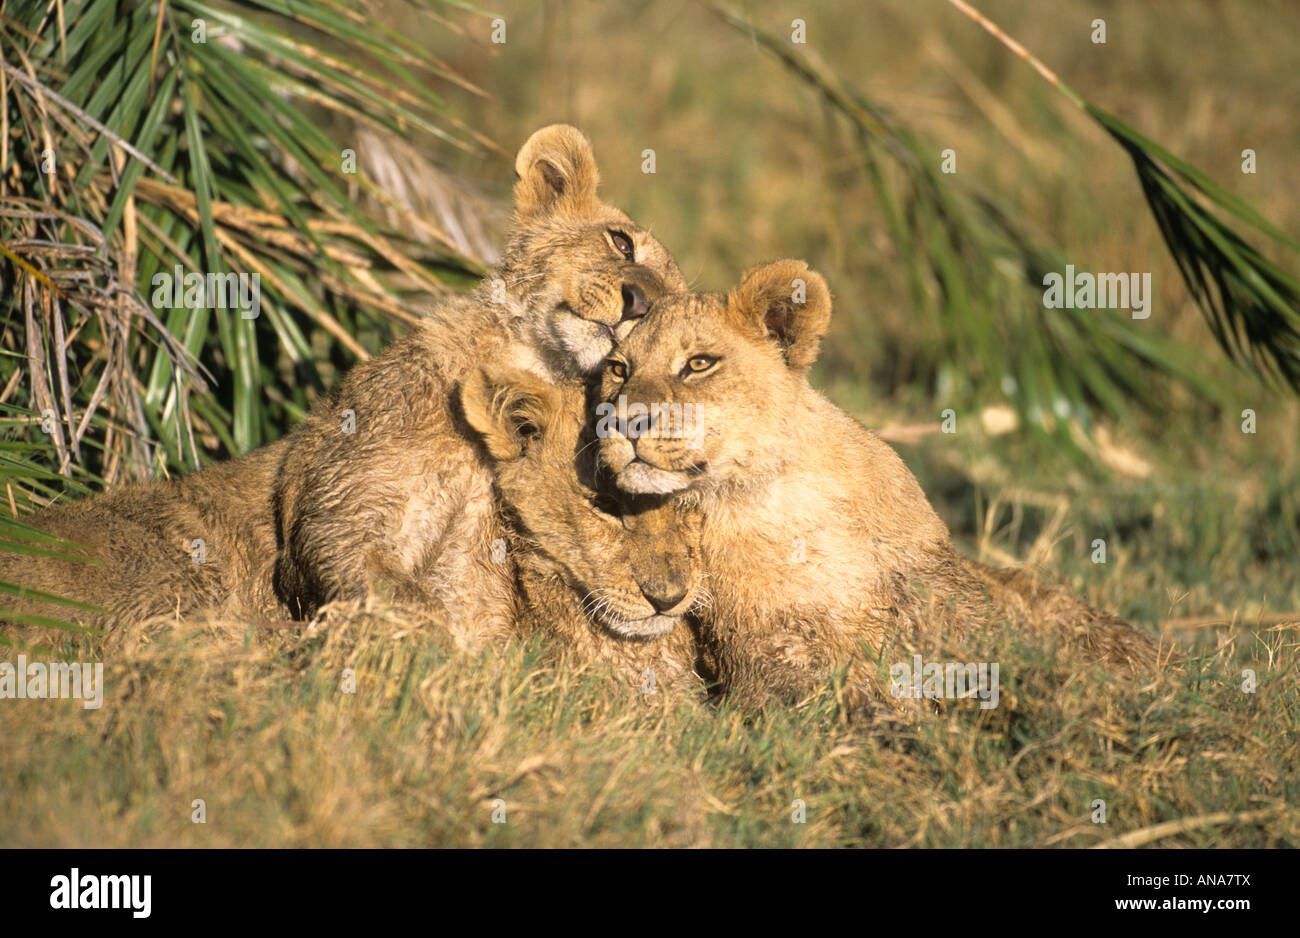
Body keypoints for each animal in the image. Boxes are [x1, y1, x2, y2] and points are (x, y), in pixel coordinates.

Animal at [596, 259, 1161, 710]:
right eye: (618, 369)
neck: (768, 503)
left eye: (698, 364)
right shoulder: (760, 652)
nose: (621, 421)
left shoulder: (942, 587)